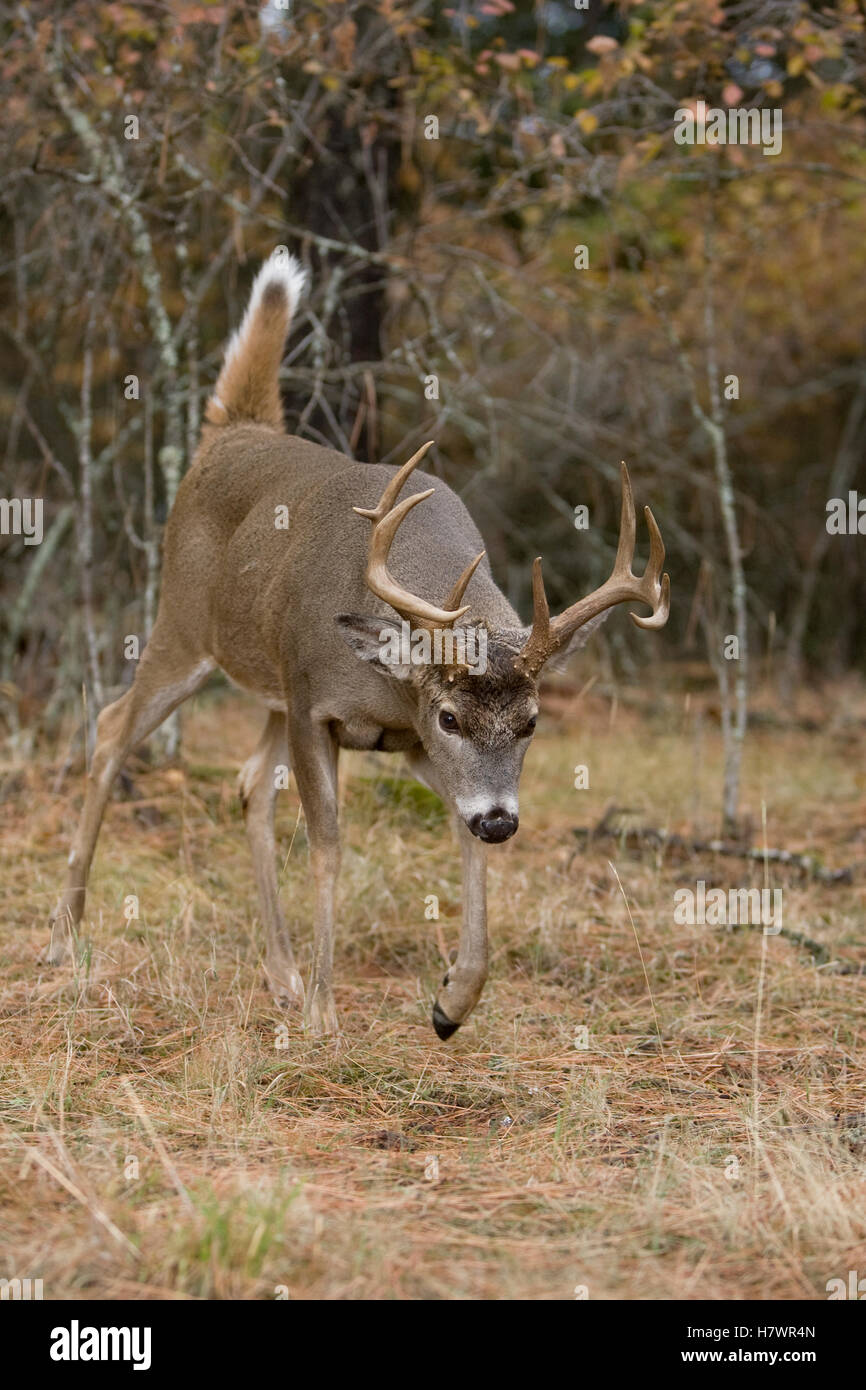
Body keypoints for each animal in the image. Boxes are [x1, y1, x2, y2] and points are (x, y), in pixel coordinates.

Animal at [47, 250, 670, 1039]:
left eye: (532, 722)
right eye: (450, 717)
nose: (502, 819)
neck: (387, 683)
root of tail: (231, 433)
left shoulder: (397, 740)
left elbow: (457, 835)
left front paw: (452, 1001)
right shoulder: (320, 707)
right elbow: (328, 845)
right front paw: (325, 1012)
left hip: (270, 686)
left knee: (249, 784)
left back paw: (280, 975)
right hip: (185, 629)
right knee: (110, 729)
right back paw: (65, 939)